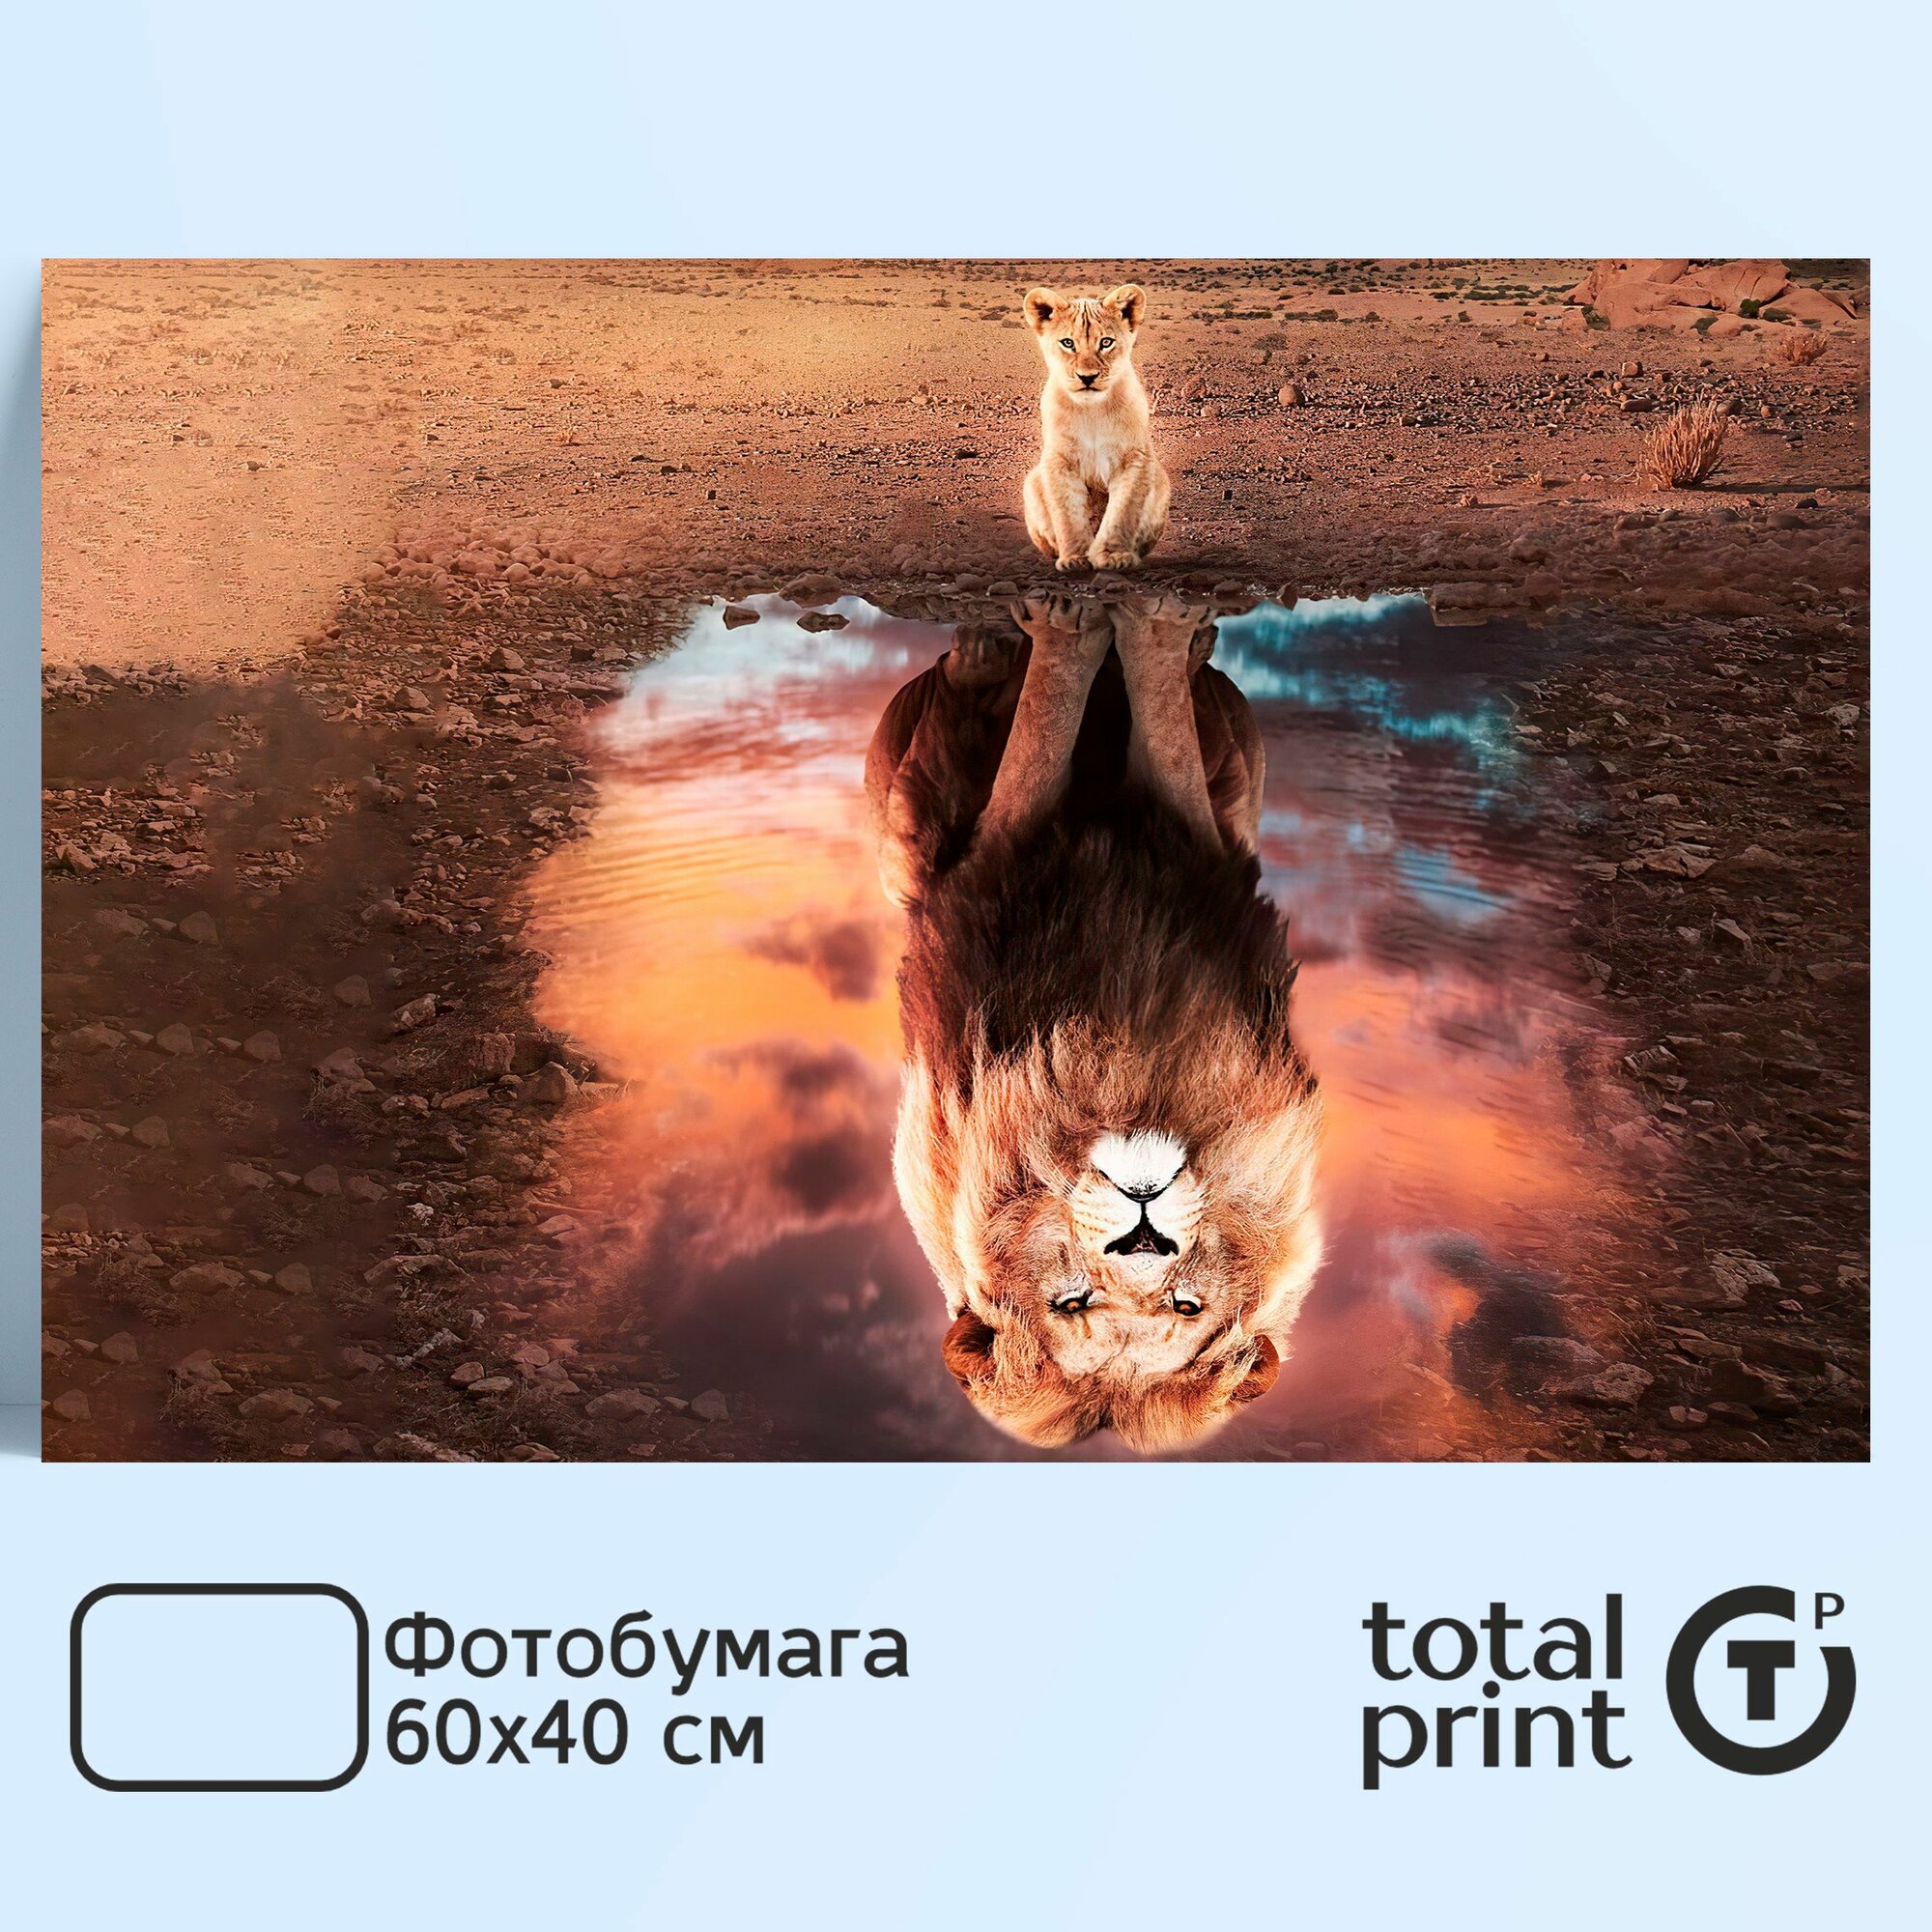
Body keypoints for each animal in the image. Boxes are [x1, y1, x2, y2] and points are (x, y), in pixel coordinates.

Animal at [865, 592, 1323, 1452]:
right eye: (1071, 1302)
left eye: (1184, 1305)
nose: (1144, 1232)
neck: (1120, 1069)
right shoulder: (995, 850)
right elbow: (1047, 722)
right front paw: (1077, 623)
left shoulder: (1203, 841)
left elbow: (1157, 729)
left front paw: (1148, 627)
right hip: (897, 832)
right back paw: (983, 652)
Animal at [1021, 284, 1171, 573]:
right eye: (1068, 343)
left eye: (1106, 342)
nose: (1087, 377)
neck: (1092, 412)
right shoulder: (1059, 461)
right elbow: (1068, 515)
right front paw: (1075, 558)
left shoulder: (1134, 459)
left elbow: (1122, 512)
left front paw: (1113, 556)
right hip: (1031, 482)